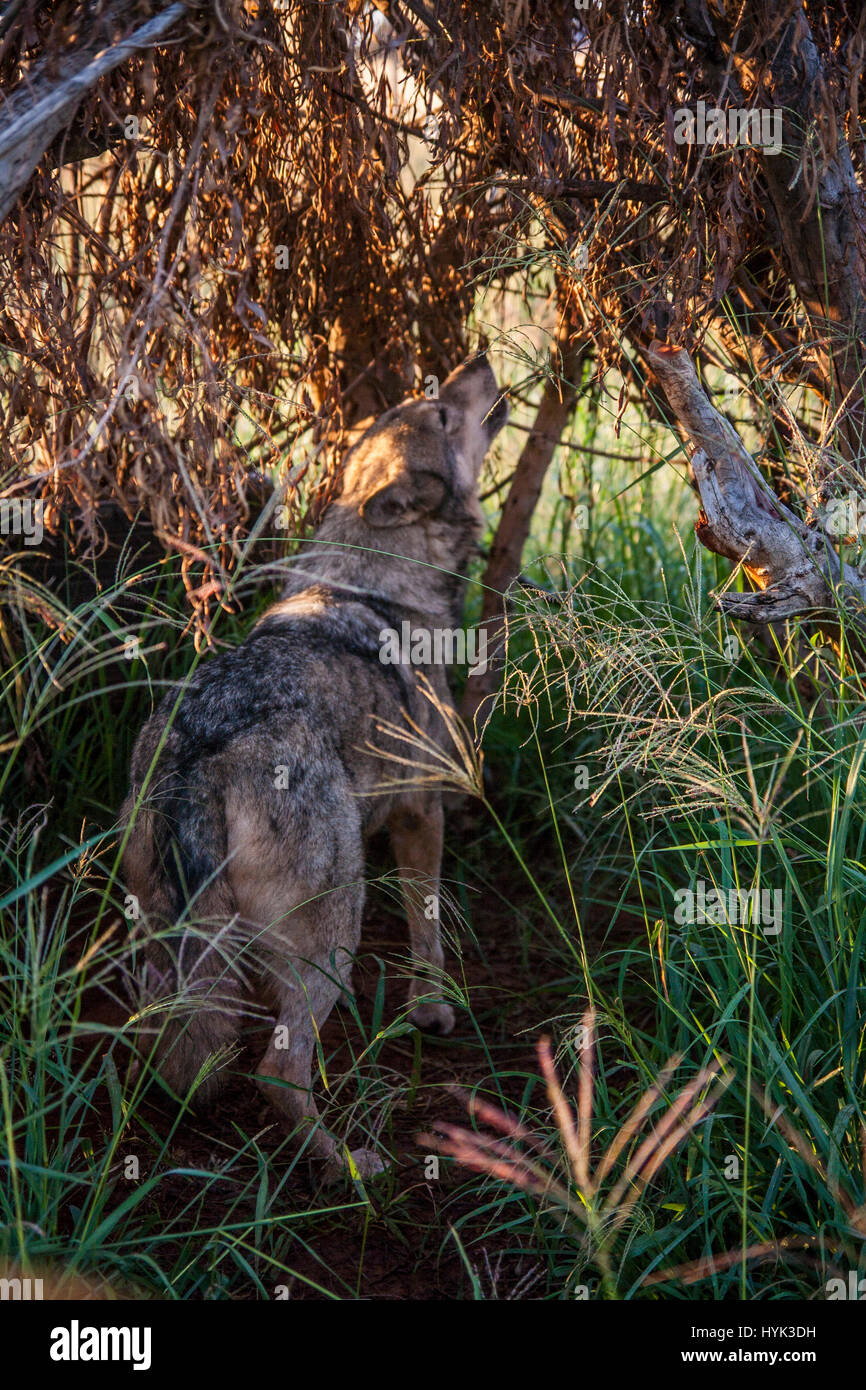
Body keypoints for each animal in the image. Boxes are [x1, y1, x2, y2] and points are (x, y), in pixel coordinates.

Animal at [120, 356, 507, 1180]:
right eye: (442, 411)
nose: (477, 359)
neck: (374, 577)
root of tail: (200, 750)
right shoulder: (421, 811)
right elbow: (427, 923)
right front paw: (431, 1010)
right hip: (337, 925)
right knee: (278, 1070)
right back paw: (348, 1164)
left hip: (170, 941)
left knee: (169, 1042)